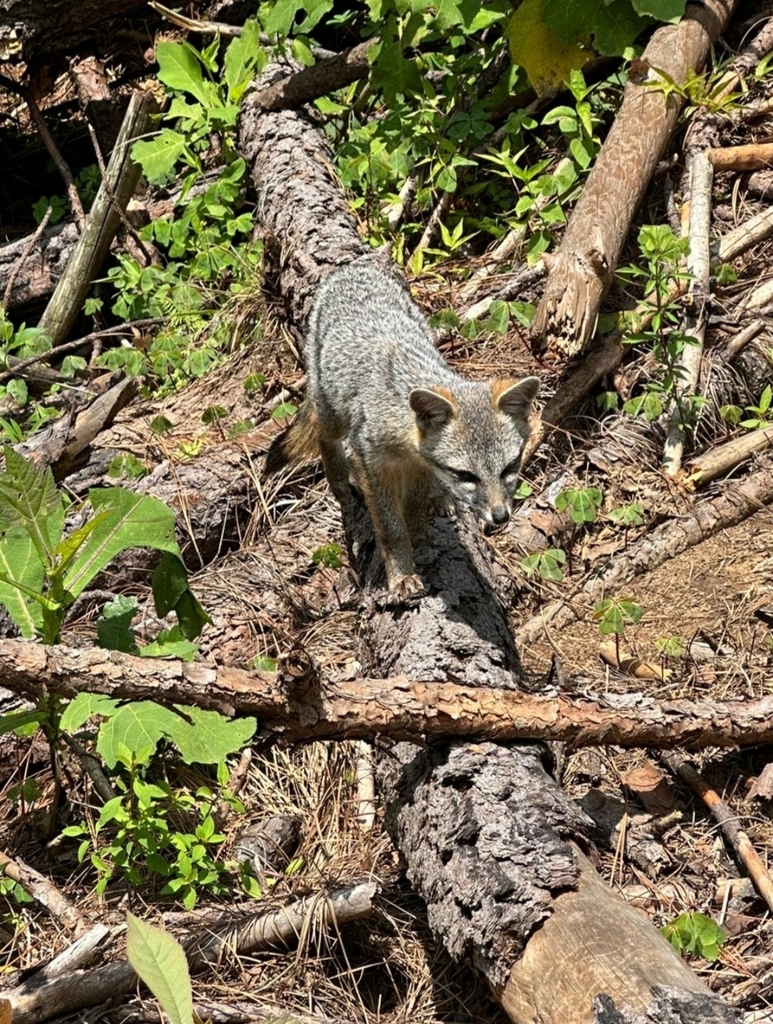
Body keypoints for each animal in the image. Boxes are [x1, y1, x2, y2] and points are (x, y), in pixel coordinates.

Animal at [266, 259, 540, 604]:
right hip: (332, 414)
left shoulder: (420, 463)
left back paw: (440, 499)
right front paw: (402, 576)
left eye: (510, 467)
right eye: (467, 475)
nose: (500, 516)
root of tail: (351, 268)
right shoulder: (370, 461)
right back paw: (339, 480)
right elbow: (390, 528)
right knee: (324, 436)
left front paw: (421, 540)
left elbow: (414, 506)